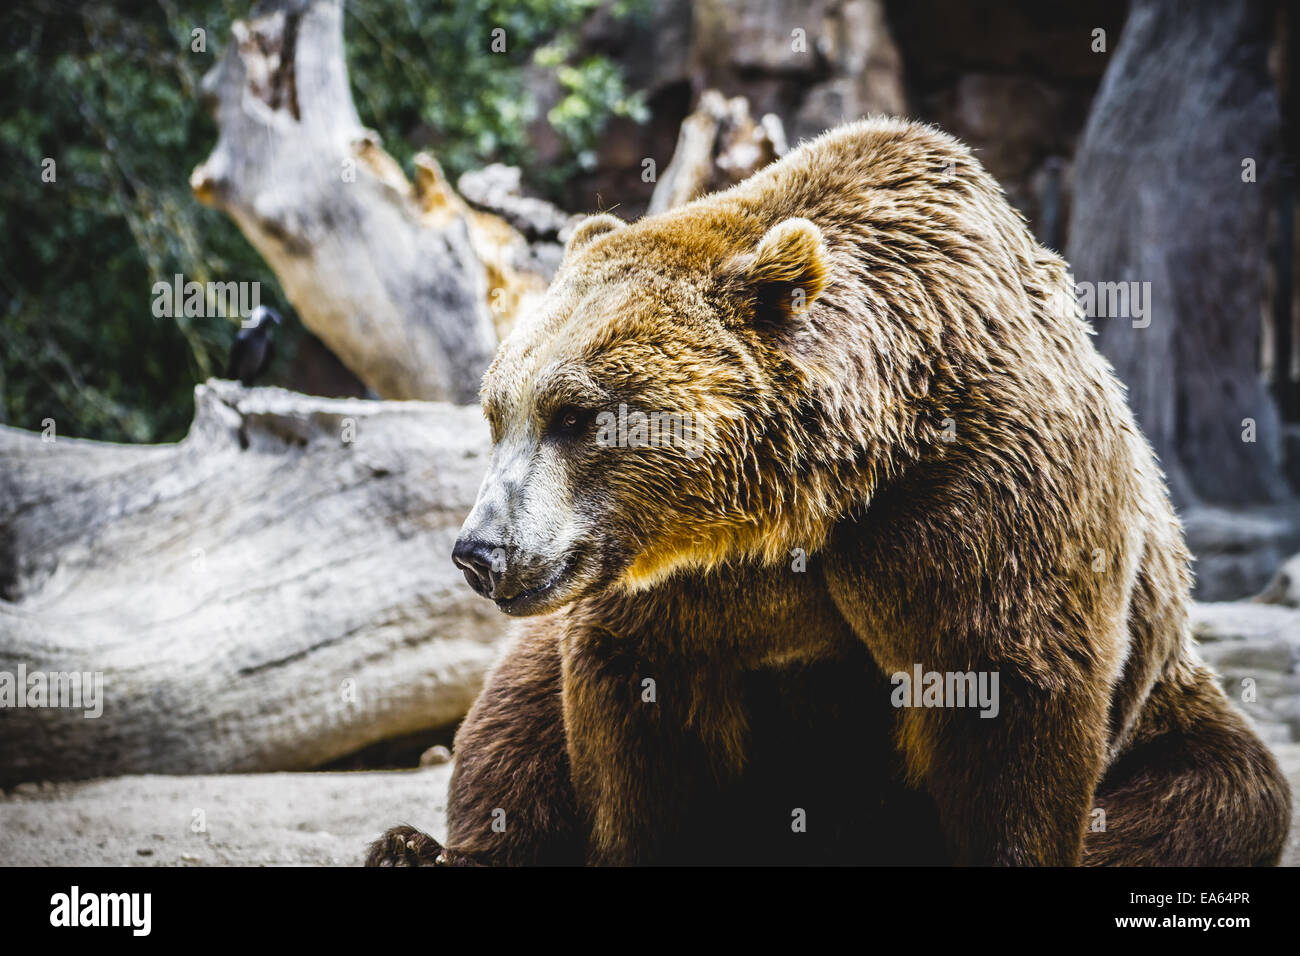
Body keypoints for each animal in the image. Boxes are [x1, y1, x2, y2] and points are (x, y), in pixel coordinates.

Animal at [367, 117, 1291, 866]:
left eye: (576, 415)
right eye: (498, 412)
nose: (480, 551)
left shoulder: (976, 506)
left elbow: (1011, 710)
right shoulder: (681, 594)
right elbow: (633, 729)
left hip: (1168, 708)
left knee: (1227, 797)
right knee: (509, 720)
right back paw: (410, 847)